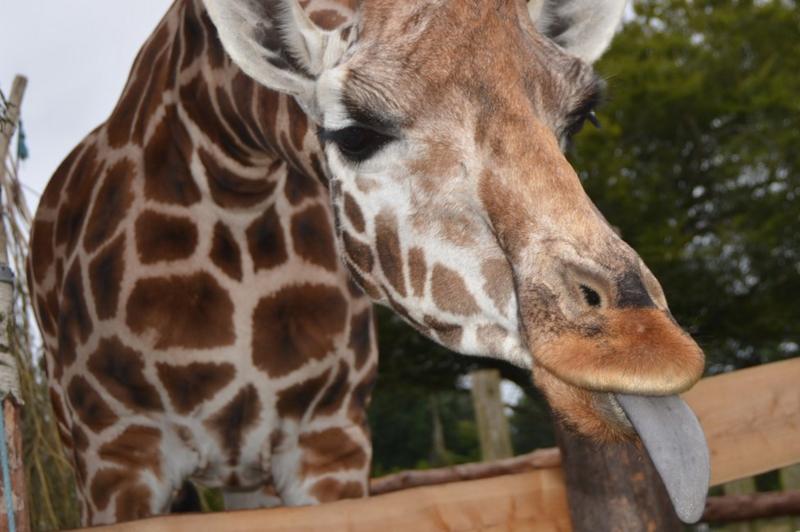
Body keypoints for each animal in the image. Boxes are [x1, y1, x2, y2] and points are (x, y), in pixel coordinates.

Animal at [28, 0, 709, 525]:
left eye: (581, 116)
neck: (234, 180)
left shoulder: (331, 444)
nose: (644, 347)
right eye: (355, 133)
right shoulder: (117, 457)